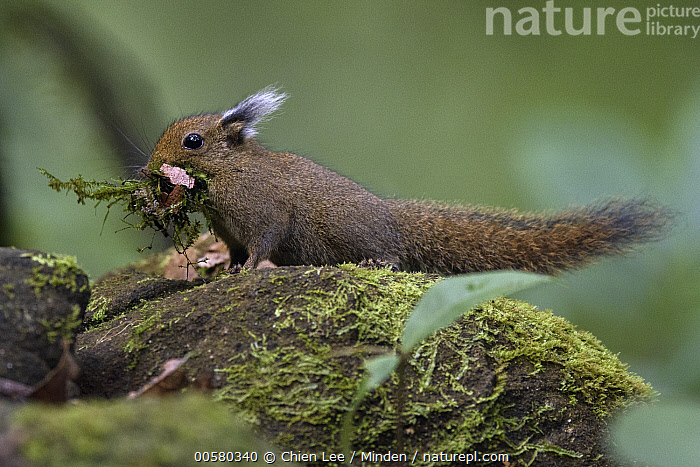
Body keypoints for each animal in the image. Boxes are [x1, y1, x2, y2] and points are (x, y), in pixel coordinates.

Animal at [143, 87, 671, 275]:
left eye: (193, 142)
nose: (150, 171)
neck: (230, 174)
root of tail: (396, 221)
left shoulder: (263, 213)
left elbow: (262, 244)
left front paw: (250, 271)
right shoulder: (228, 233)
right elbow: (233, 253)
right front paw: (224, 273)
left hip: (351, 233)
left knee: (393, 257)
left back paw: (379, 262)